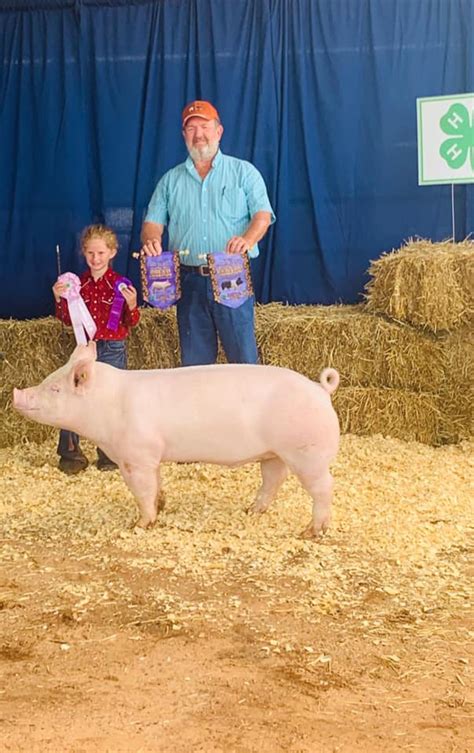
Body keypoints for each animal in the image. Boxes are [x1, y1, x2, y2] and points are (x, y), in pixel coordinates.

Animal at [13, 342, 340, 538]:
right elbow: (156, 484)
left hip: (307, 453)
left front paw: (139, 525)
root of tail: (321, 390)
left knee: (323, 487)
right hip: (275, 453)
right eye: (48, 380)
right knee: (273, 479)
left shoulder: (136, 457)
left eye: (55, 389)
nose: (18, 393)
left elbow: (142, 491)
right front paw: (162, 506)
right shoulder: (152, 456)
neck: (108, 405)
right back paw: (250, 510)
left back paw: (311, 532)